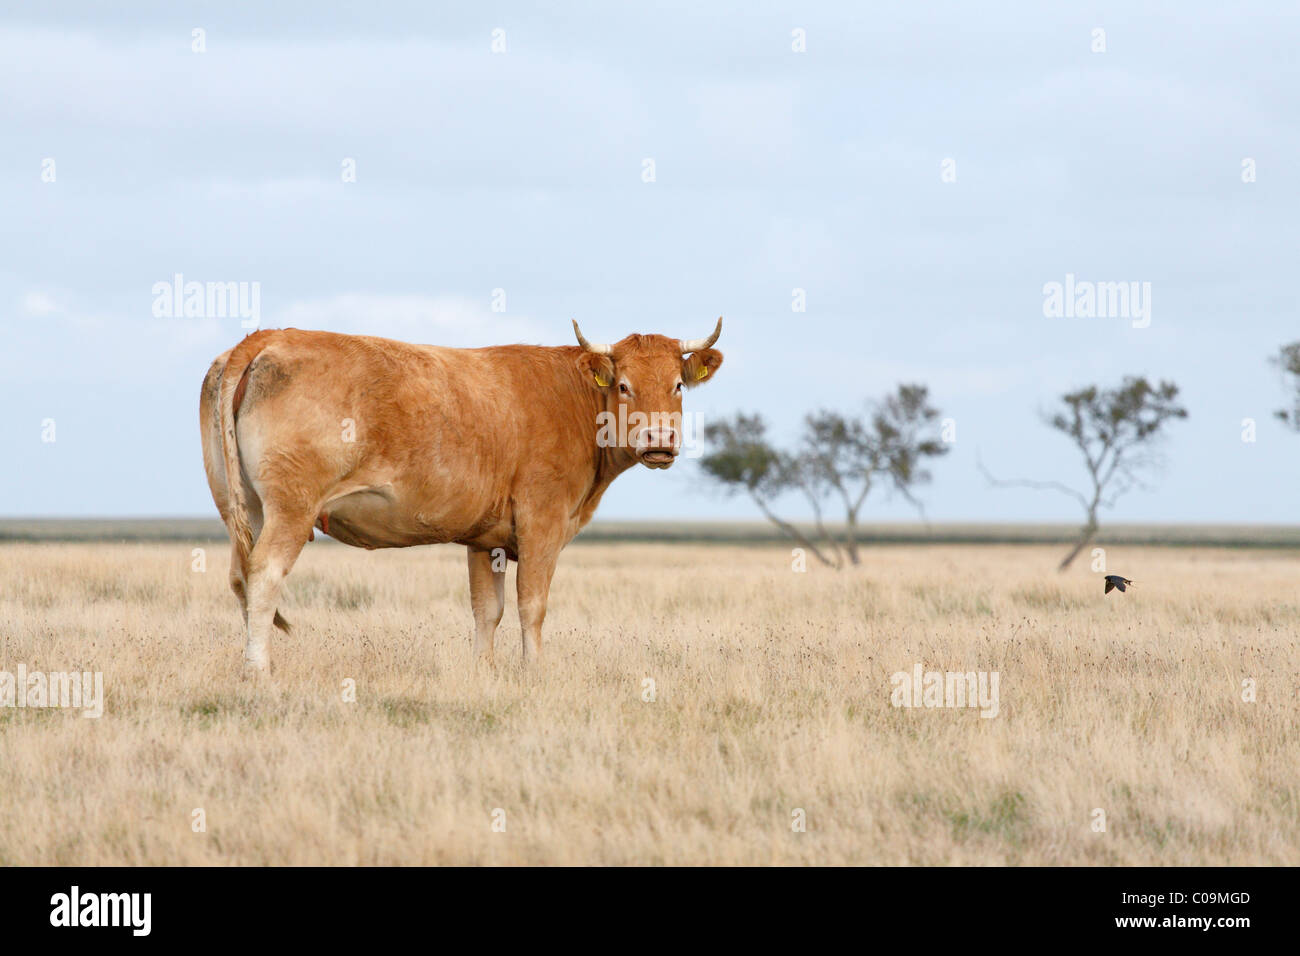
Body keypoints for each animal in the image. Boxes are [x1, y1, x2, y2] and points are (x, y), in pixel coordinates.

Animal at [199, 318, 724, 671]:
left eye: (678, 385)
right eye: (624, 385)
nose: (659, 439)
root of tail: (267, 337)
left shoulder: (486, 538)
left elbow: (487, 610)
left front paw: (483, 672)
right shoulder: (542, 522)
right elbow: (532, 605)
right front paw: (534, 673)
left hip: (242, 508)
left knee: (241, 578)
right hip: (291, 509)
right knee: (265, 575)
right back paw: (259, 671)